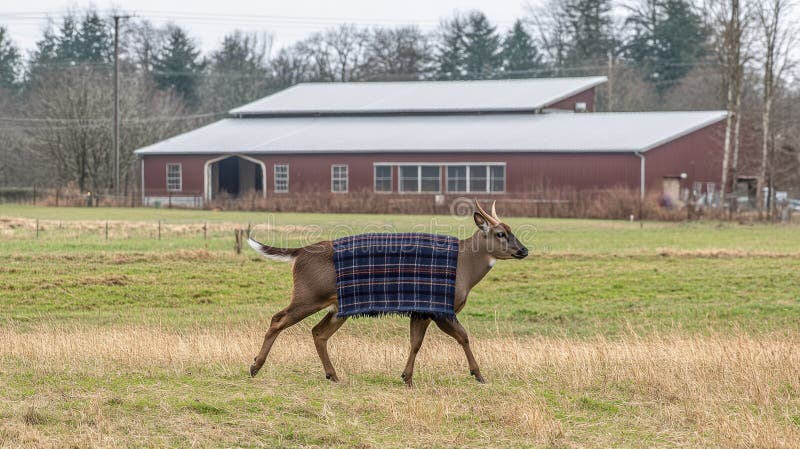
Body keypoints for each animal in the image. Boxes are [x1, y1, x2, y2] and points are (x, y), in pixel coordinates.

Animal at [246, 200, 528, 386]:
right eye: (500, 233)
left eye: (512, 231)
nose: (523, 250)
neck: (464, 268)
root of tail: (299, 253)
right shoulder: (439, 307)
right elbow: (463, 337)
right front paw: (479, 375)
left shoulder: (421, 308)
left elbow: (415, 342)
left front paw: (406, 377)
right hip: (309, 294)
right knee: (278, 319)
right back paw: (254, 367)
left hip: (338, 305)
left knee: (318, 332)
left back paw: (333, 375)